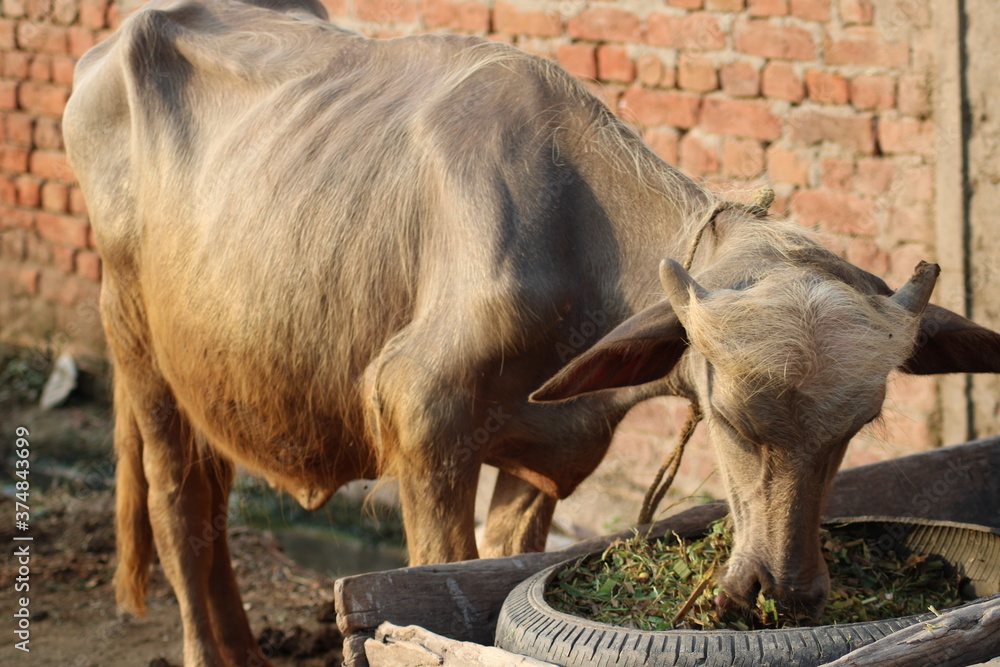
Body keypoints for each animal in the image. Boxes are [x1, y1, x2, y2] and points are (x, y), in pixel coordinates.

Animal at [64, 0, 1000, 664]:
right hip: (134, 340)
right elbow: (434, 569)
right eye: (730, 421)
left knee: (216, 498)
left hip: (215, 364)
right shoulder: (424, 423)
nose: (784, 593)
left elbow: (500, 559)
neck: (574, 240)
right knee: (178, 507)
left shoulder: (544, 457)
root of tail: (107, 53)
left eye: (858, 426)